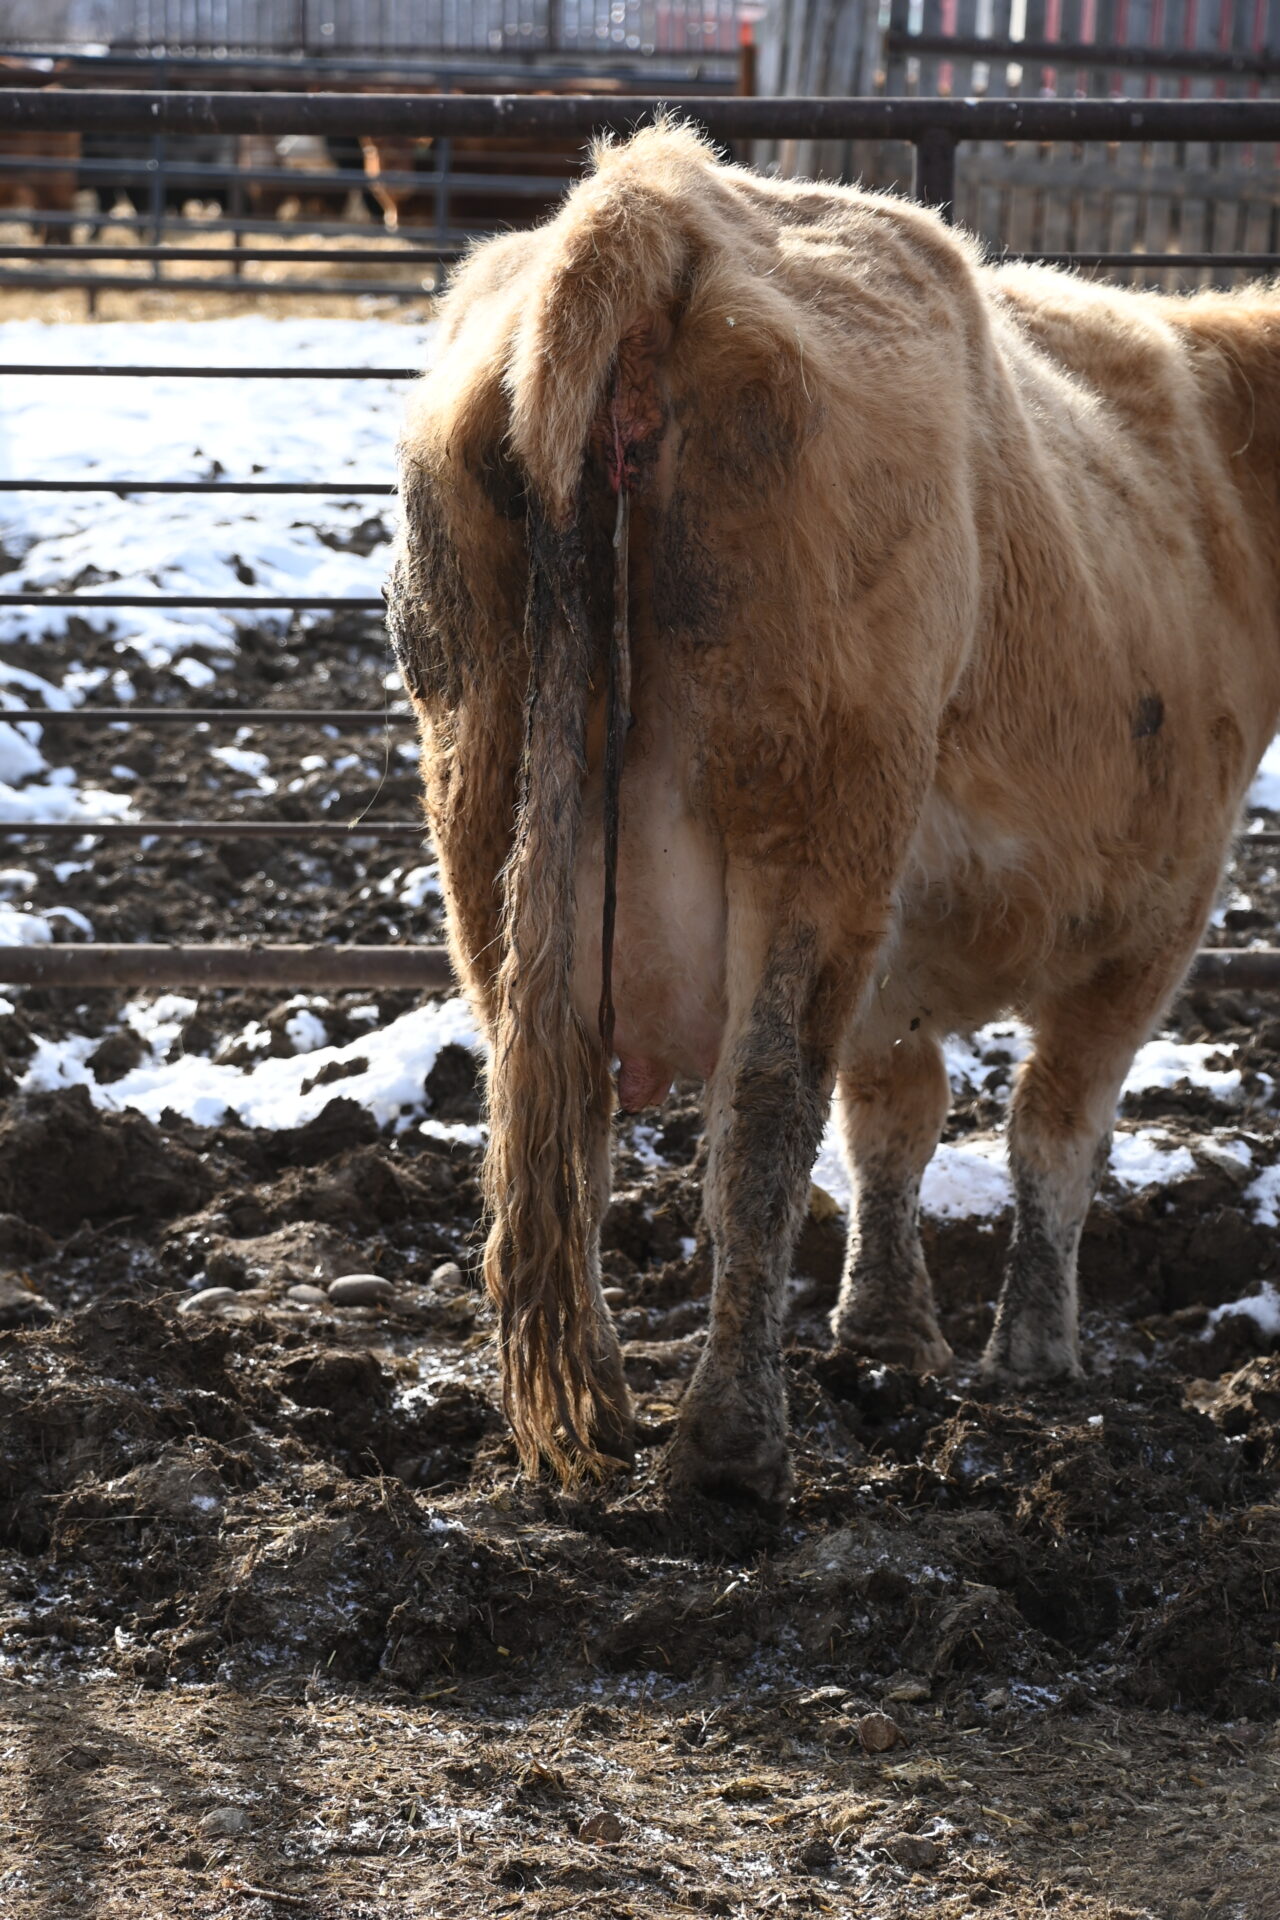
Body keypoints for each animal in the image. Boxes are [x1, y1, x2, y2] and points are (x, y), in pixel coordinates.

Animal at [386, 121, 1280, 1508]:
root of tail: (660, 196)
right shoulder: (1155, 916)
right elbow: (1049, 1133)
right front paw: (1031, 1352)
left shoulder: (902, 948)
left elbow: (892, 1119)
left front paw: (887, 1333)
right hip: (818, 816)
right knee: (760, 1111)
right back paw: (729, 1447)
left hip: (487, 812)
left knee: (549, 1114)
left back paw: (600, 1414)